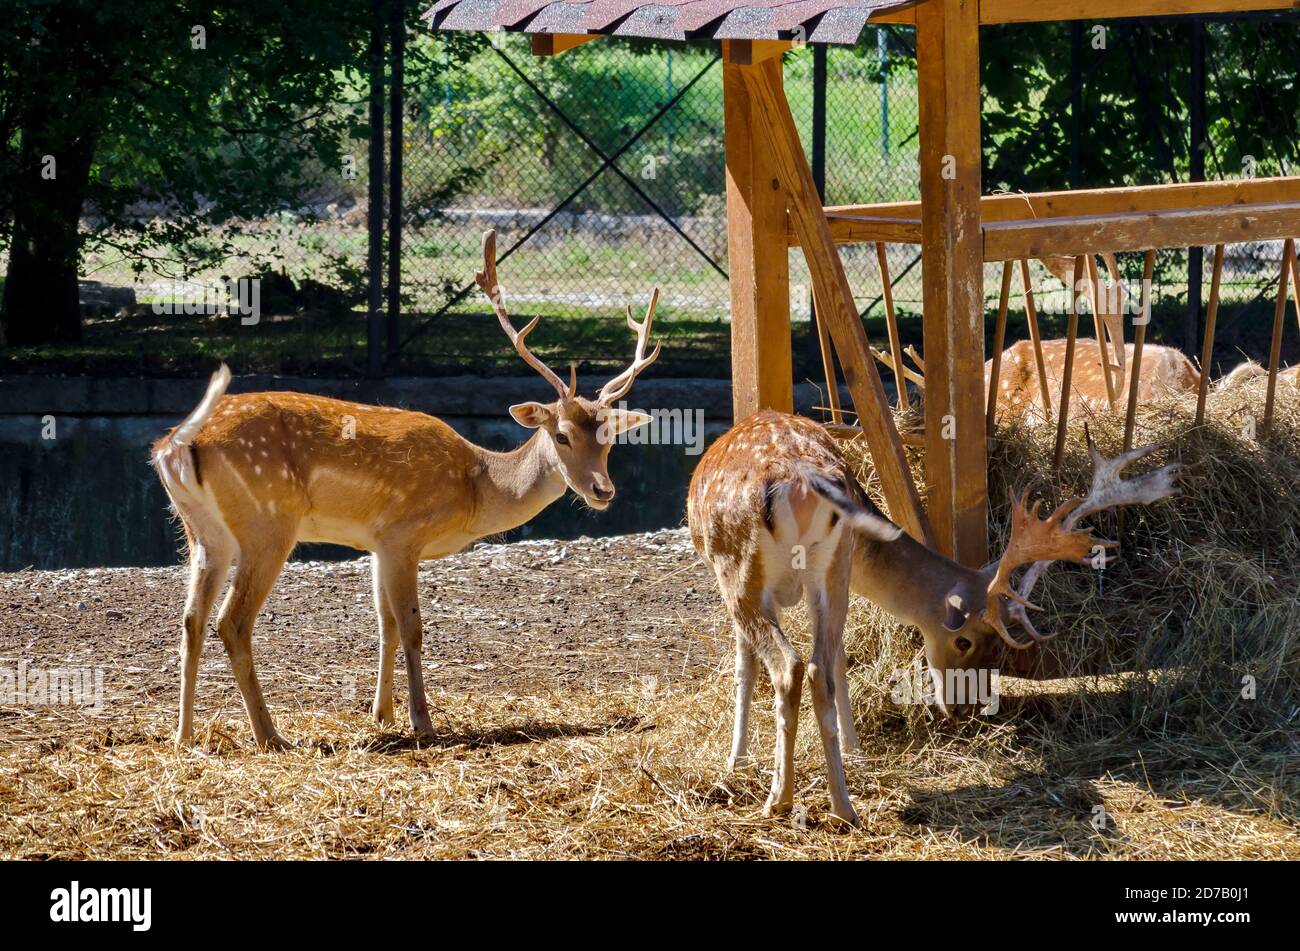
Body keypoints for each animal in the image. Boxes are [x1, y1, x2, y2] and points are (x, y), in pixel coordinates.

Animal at [153, 230, 659, 750]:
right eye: (561, 435)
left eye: (609, 438)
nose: (603, 489)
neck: (476, 487)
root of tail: (176, 444)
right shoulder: (402, 534)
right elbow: (412, 626)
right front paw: (422, 721)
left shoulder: (377, 543)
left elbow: (386, 624)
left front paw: (382, 714)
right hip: (267, 523)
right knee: (231, 621)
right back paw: (270, 736)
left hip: (203, 531)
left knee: (190, 619)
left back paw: (183, 735)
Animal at [688, 410, 1178, 827]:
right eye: (967, 640)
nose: (964, 709)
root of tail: (801, 476)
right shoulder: (836, 578)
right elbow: (838, 662)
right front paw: (856, 750)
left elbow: (745, 666)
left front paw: (736, 762)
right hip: (827, 564)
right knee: (817, 668)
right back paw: (843, 807)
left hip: (738, 566)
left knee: (788, 666)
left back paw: (779, 800)